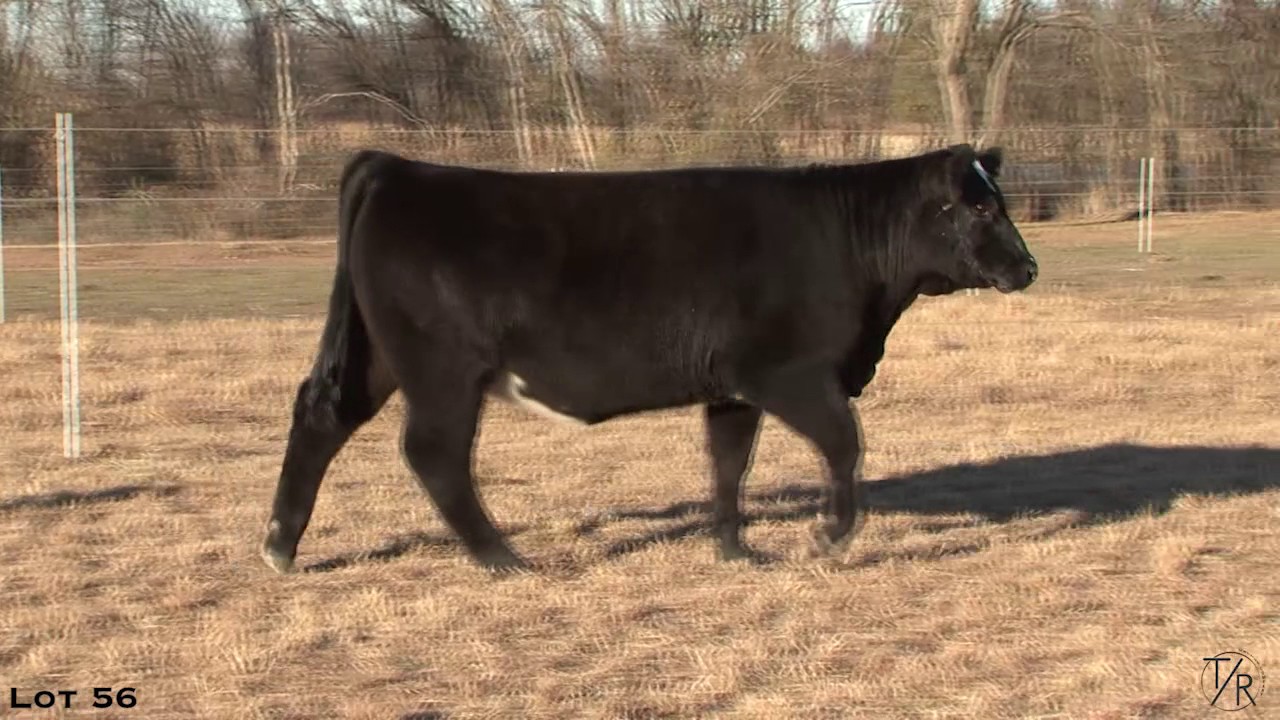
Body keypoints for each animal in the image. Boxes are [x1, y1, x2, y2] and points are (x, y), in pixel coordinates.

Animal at [260, 143, 1038, 575]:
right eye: (978, 208)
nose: (1028, 268)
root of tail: (396, 167)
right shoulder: (788, 373)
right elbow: (844, 445)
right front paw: (828, 536)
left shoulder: (731, 384)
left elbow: (728, 462)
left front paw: (735, 551)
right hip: (442, 369)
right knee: (434, 452)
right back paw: (503, 559)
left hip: (377, 358)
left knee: (322, 417)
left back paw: (280, 546)